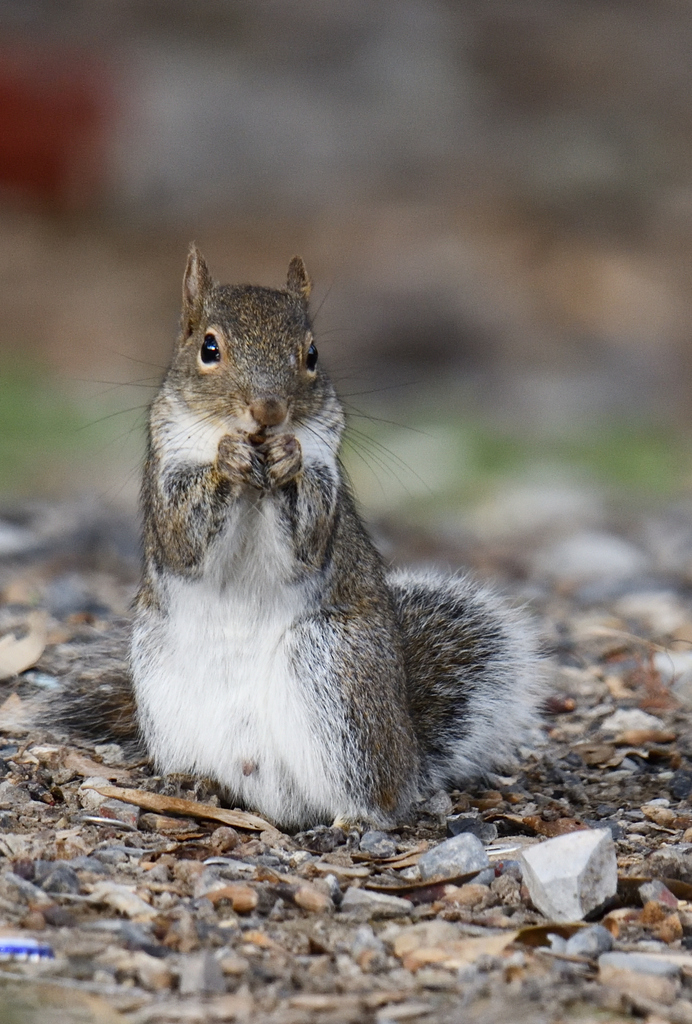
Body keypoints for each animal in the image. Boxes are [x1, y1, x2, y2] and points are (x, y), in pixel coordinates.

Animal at [43, 247, 543, 831]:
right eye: (209, 348)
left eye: (312, 354)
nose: (268, 411)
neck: (254, 478)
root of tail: (410, 753)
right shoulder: (166, 476)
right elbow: (183, 539)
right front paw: (228, 458)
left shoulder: (324, 485)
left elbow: (310, 534)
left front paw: (288, 457)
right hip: (161, 686)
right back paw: (196, 782)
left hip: (337, 684)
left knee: (374, 794)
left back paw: (356, 820)